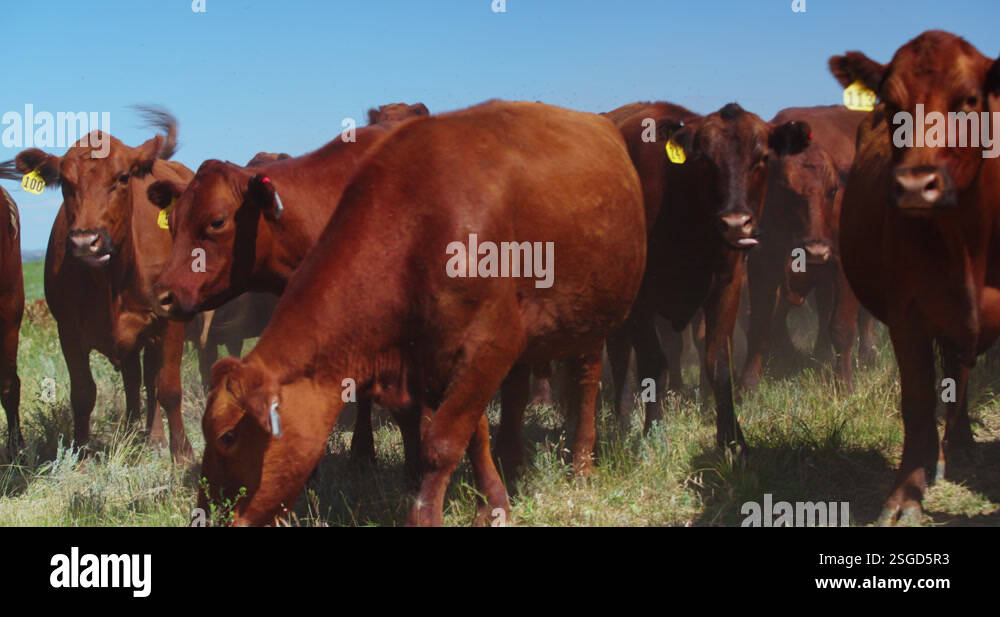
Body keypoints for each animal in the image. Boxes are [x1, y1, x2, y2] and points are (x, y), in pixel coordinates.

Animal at [11, 109, 194, 460]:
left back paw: (155, 436)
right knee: (135, 378)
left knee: (150, 380)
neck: (112, 281)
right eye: (66, 183)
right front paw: (81, 456)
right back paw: (133, 428)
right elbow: (83, 393)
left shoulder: (170, 322)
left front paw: (182, 454)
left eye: (122, 178)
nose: (86, 241)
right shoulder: (68, 330)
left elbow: (168, 387)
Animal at [195, 100, 646, 526]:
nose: (205, 514)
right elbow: (473, 436)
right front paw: (493, 503)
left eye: (227, 437)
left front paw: (428, 514)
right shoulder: (442, 361)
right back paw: (514, 463)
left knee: (586, 385)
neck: (416, 226)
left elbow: (442, 443)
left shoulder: (489, 345)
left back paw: (582, 464)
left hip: (590, 318)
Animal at [604, 101, 811, 450]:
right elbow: (652, 363)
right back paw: (621, 416)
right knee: (620, 357)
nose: (735, 223)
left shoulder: (727, 285)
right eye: (705, 160)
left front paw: (731, 439)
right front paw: (654, 433)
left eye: (762, 158)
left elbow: (718, 362)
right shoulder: (641, 302)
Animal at [740, 105, 873, 391]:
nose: (816, 250)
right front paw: (747, 386)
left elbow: (842, 327)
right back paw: (821, 355)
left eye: (833, 190)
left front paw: (845, 383)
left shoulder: (842, 264)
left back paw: (868, 354)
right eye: (787, 190)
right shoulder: (762, 264)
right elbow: (760, 327)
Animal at [829, 30, 1000, 524]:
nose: (912, 186)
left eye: (968, 101)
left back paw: (958, 444)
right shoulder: (908, 318)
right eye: (891, 106)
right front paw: (905, 495)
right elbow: (917, 402)